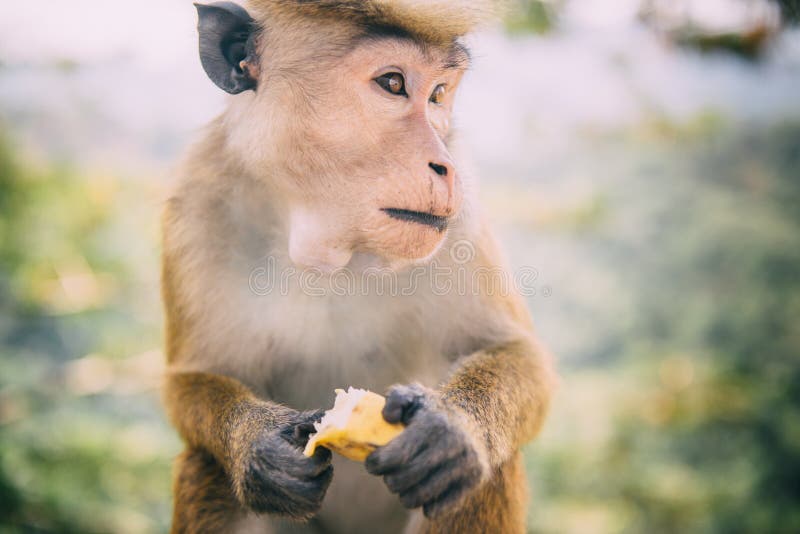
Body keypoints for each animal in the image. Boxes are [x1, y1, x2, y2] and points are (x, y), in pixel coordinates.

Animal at [161, 1, 555, 533]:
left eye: (438, 94)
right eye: (392, 83)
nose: (445, 167)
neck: (327, 247)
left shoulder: (462, 223)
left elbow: (515, 352)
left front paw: (451, 428)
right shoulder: (196, 205)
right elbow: (193, 377)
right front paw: (256, 447)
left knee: (473, 478)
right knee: (207, 468)